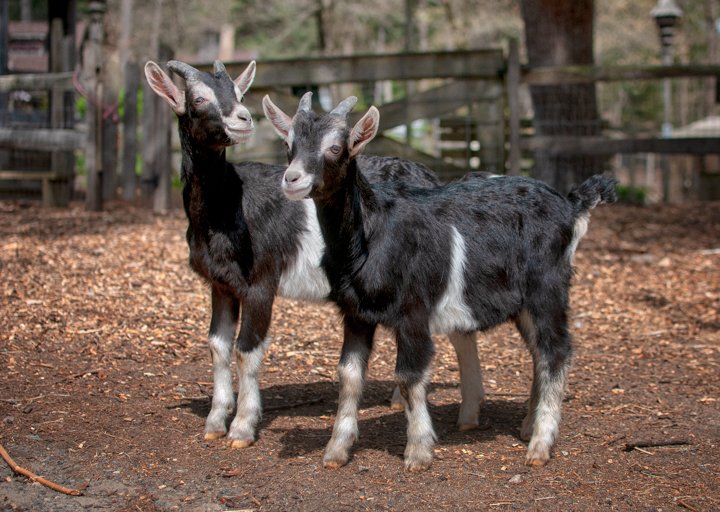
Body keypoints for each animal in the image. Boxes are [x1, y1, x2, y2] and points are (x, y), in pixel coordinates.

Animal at [143, 60, 485, 449]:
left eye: (239, 93)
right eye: (199, 98)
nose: (242, 118)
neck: (228, 204)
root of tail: (431, 176)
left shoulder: (261, 282)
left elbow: (246, 350)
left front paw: (242, 428)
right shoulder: (221, 284)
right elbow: (218, 345)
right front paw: (215, 421)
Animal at [263, 92, 617, 471]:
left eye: (335, 147)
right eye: (288, 144)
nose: (292, 179)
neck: (372, 231)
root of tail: (571, 206)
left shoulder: (413, 311)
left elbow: (409, 377)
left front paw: (418, 451)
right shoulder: (355, 313)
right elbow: (349, 375)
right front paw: (336, 450)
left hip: (547, 289)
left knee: (556, 352)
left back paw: (540, 444)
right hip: (524, 304)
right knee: (539, 352)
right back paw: (527, 426)